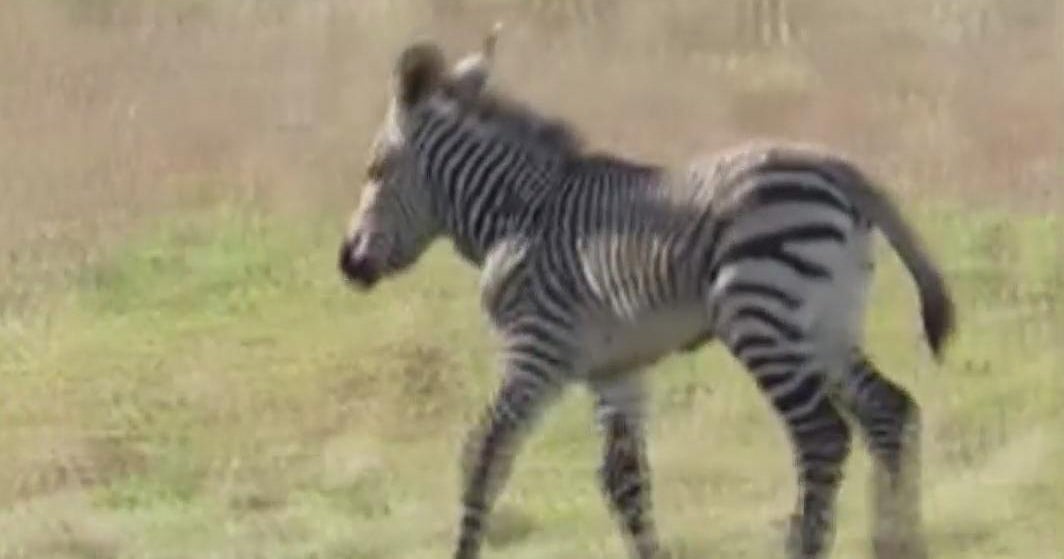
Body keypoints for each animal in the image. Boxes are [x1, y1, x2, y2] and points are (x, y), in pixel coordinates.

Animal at [338, 27, 954, 559]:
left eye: (374, 169)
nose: (348, 263)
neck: (518, 216)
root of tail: (836, 166)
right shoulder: (617, 369)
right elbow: (625, 480)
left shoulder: (536, 348)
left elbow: (484, 453)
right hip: (824, 324)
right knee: (889, 412)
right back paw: (899, 545)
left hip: (761, 317)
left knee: (823, 436)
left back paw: (807, 545)